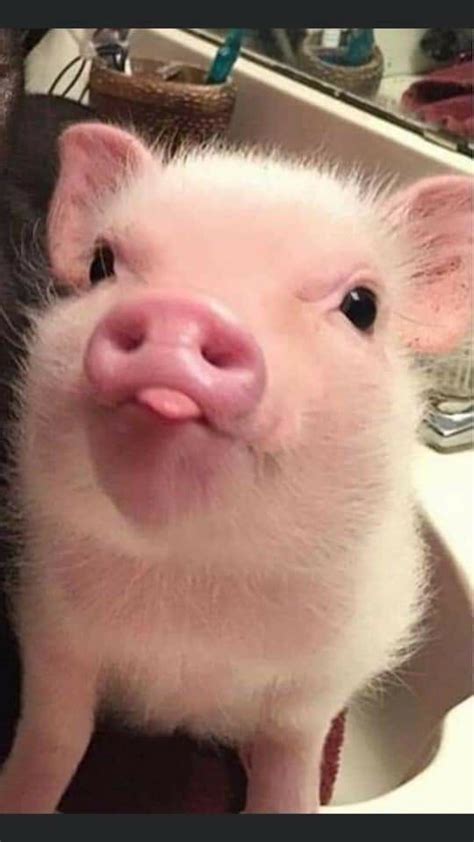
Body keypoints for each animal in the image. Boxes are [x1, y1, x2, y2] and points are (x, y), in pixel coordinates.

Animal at [0, 121, 471, 814]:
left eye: (362, 305)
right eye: (102, 264)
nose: (184, 308)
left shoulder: (322, 681)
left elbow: (293, 757)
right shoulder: (49, 625)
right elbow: (55, 732)